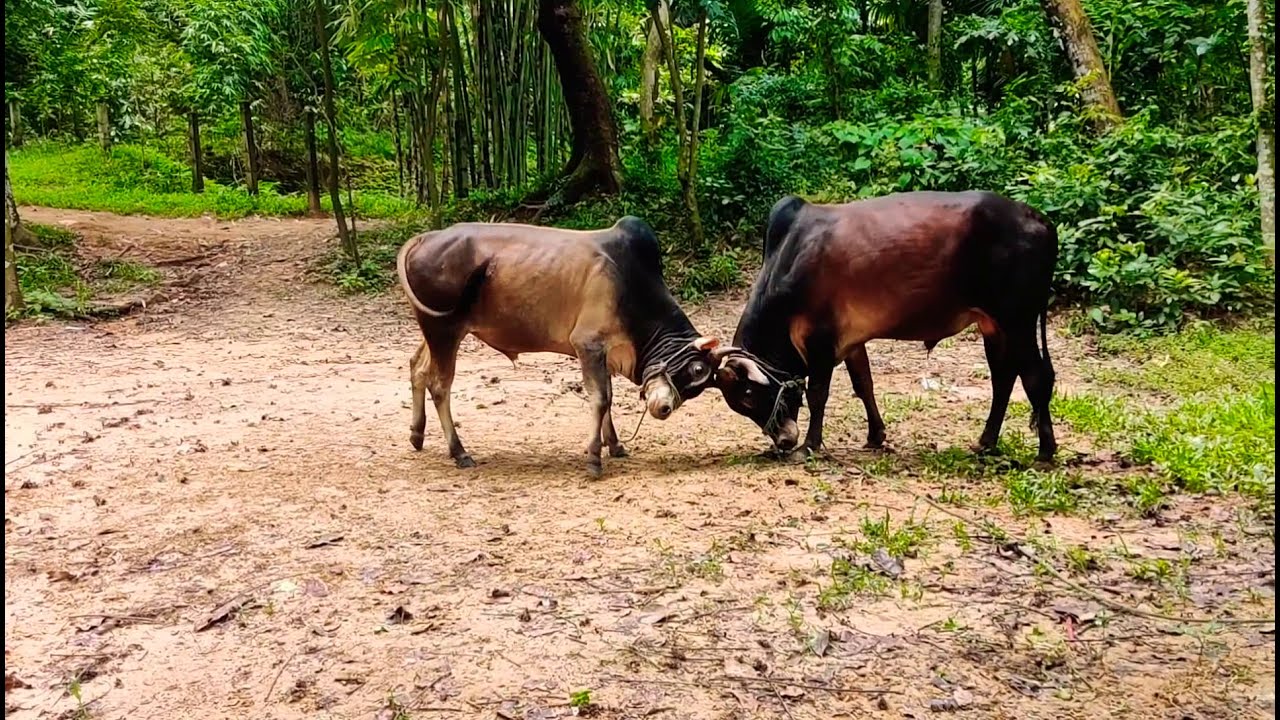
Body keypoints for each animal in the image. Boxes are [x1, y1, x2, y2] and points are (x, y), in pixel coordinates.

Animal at [396, 217, 725, 477]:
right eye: (697, 369)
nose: (665, 409)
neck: (631, 285)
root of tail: (425, 237)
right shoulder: (588, 344)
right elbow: (601, 399)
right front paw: (594, 459)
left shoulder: (603, 353)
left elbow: (609, 397)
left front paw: (615, 445)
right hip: (445, 330)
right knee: (440, 385)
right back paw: (459, 451)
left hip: (436, 328)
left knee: (417, 367)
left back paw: (417, 434)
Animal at [710, 191, 1059, 463]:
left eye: (748, 396)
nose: (783, 440)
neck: (788, 260)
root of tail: (1040, 219)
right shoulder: (851, 341)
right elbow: (864, 385)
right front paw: (875, 436)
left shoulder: (820, 340)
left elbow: (818, 393)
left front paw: (809, 446)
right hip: (994, 327)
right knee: (1003, 380)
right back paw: (986, 442)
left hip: (1017, 321)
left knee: (1035, 378)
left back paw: (1045, 451)